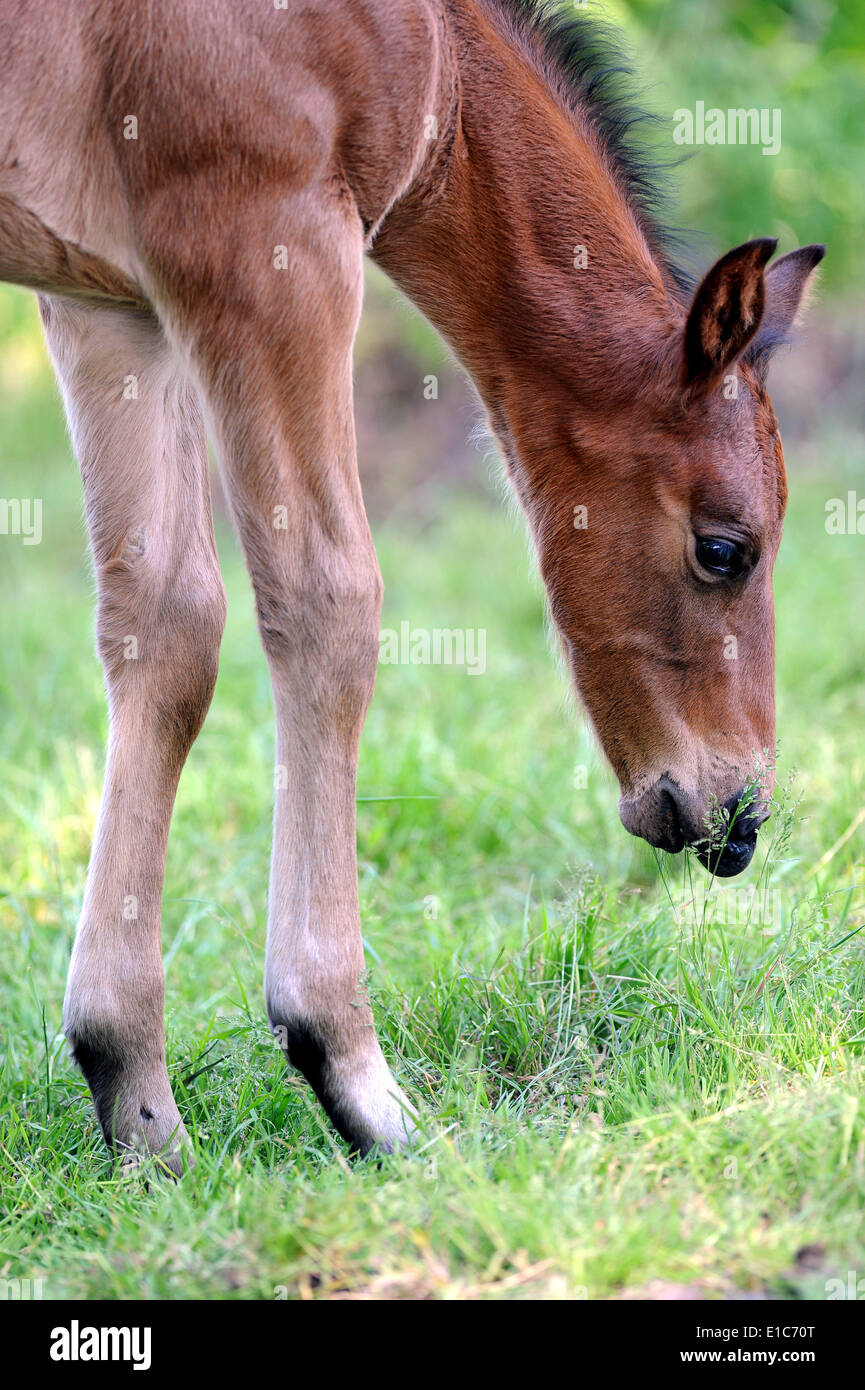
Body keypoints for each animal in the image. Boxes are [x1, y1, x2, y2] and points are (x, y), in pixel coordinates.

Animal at [0, 0, 823, 1172]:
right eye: (723, 549)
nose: (739, 819)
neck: (431, 49)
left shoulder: (106, 300)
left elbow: (167, 619)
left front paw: (135, 1095)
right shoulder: (266, 244)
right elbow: (329, 598)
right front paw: (348, 1069)